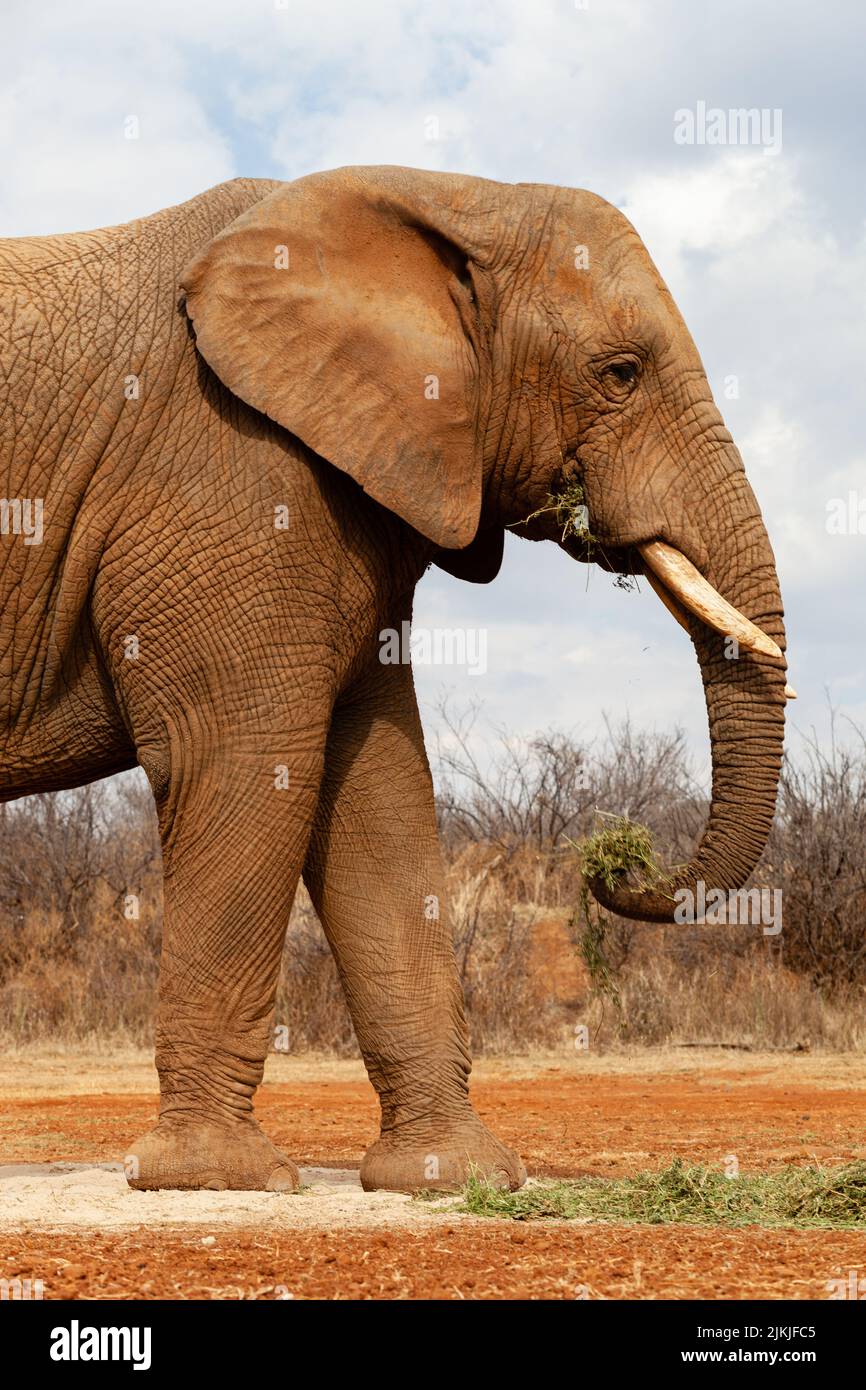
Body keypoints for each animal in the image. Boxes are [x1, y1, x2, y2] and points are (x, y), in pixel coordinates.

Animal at [0, 166, 789, 1193]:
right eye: (620, 373)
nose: (612, 860)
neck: (455, 198)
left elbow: (378, 795)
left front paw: (453, 1177)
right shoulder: (229, 469)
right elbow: (244, 760)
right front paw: (217, 1178)